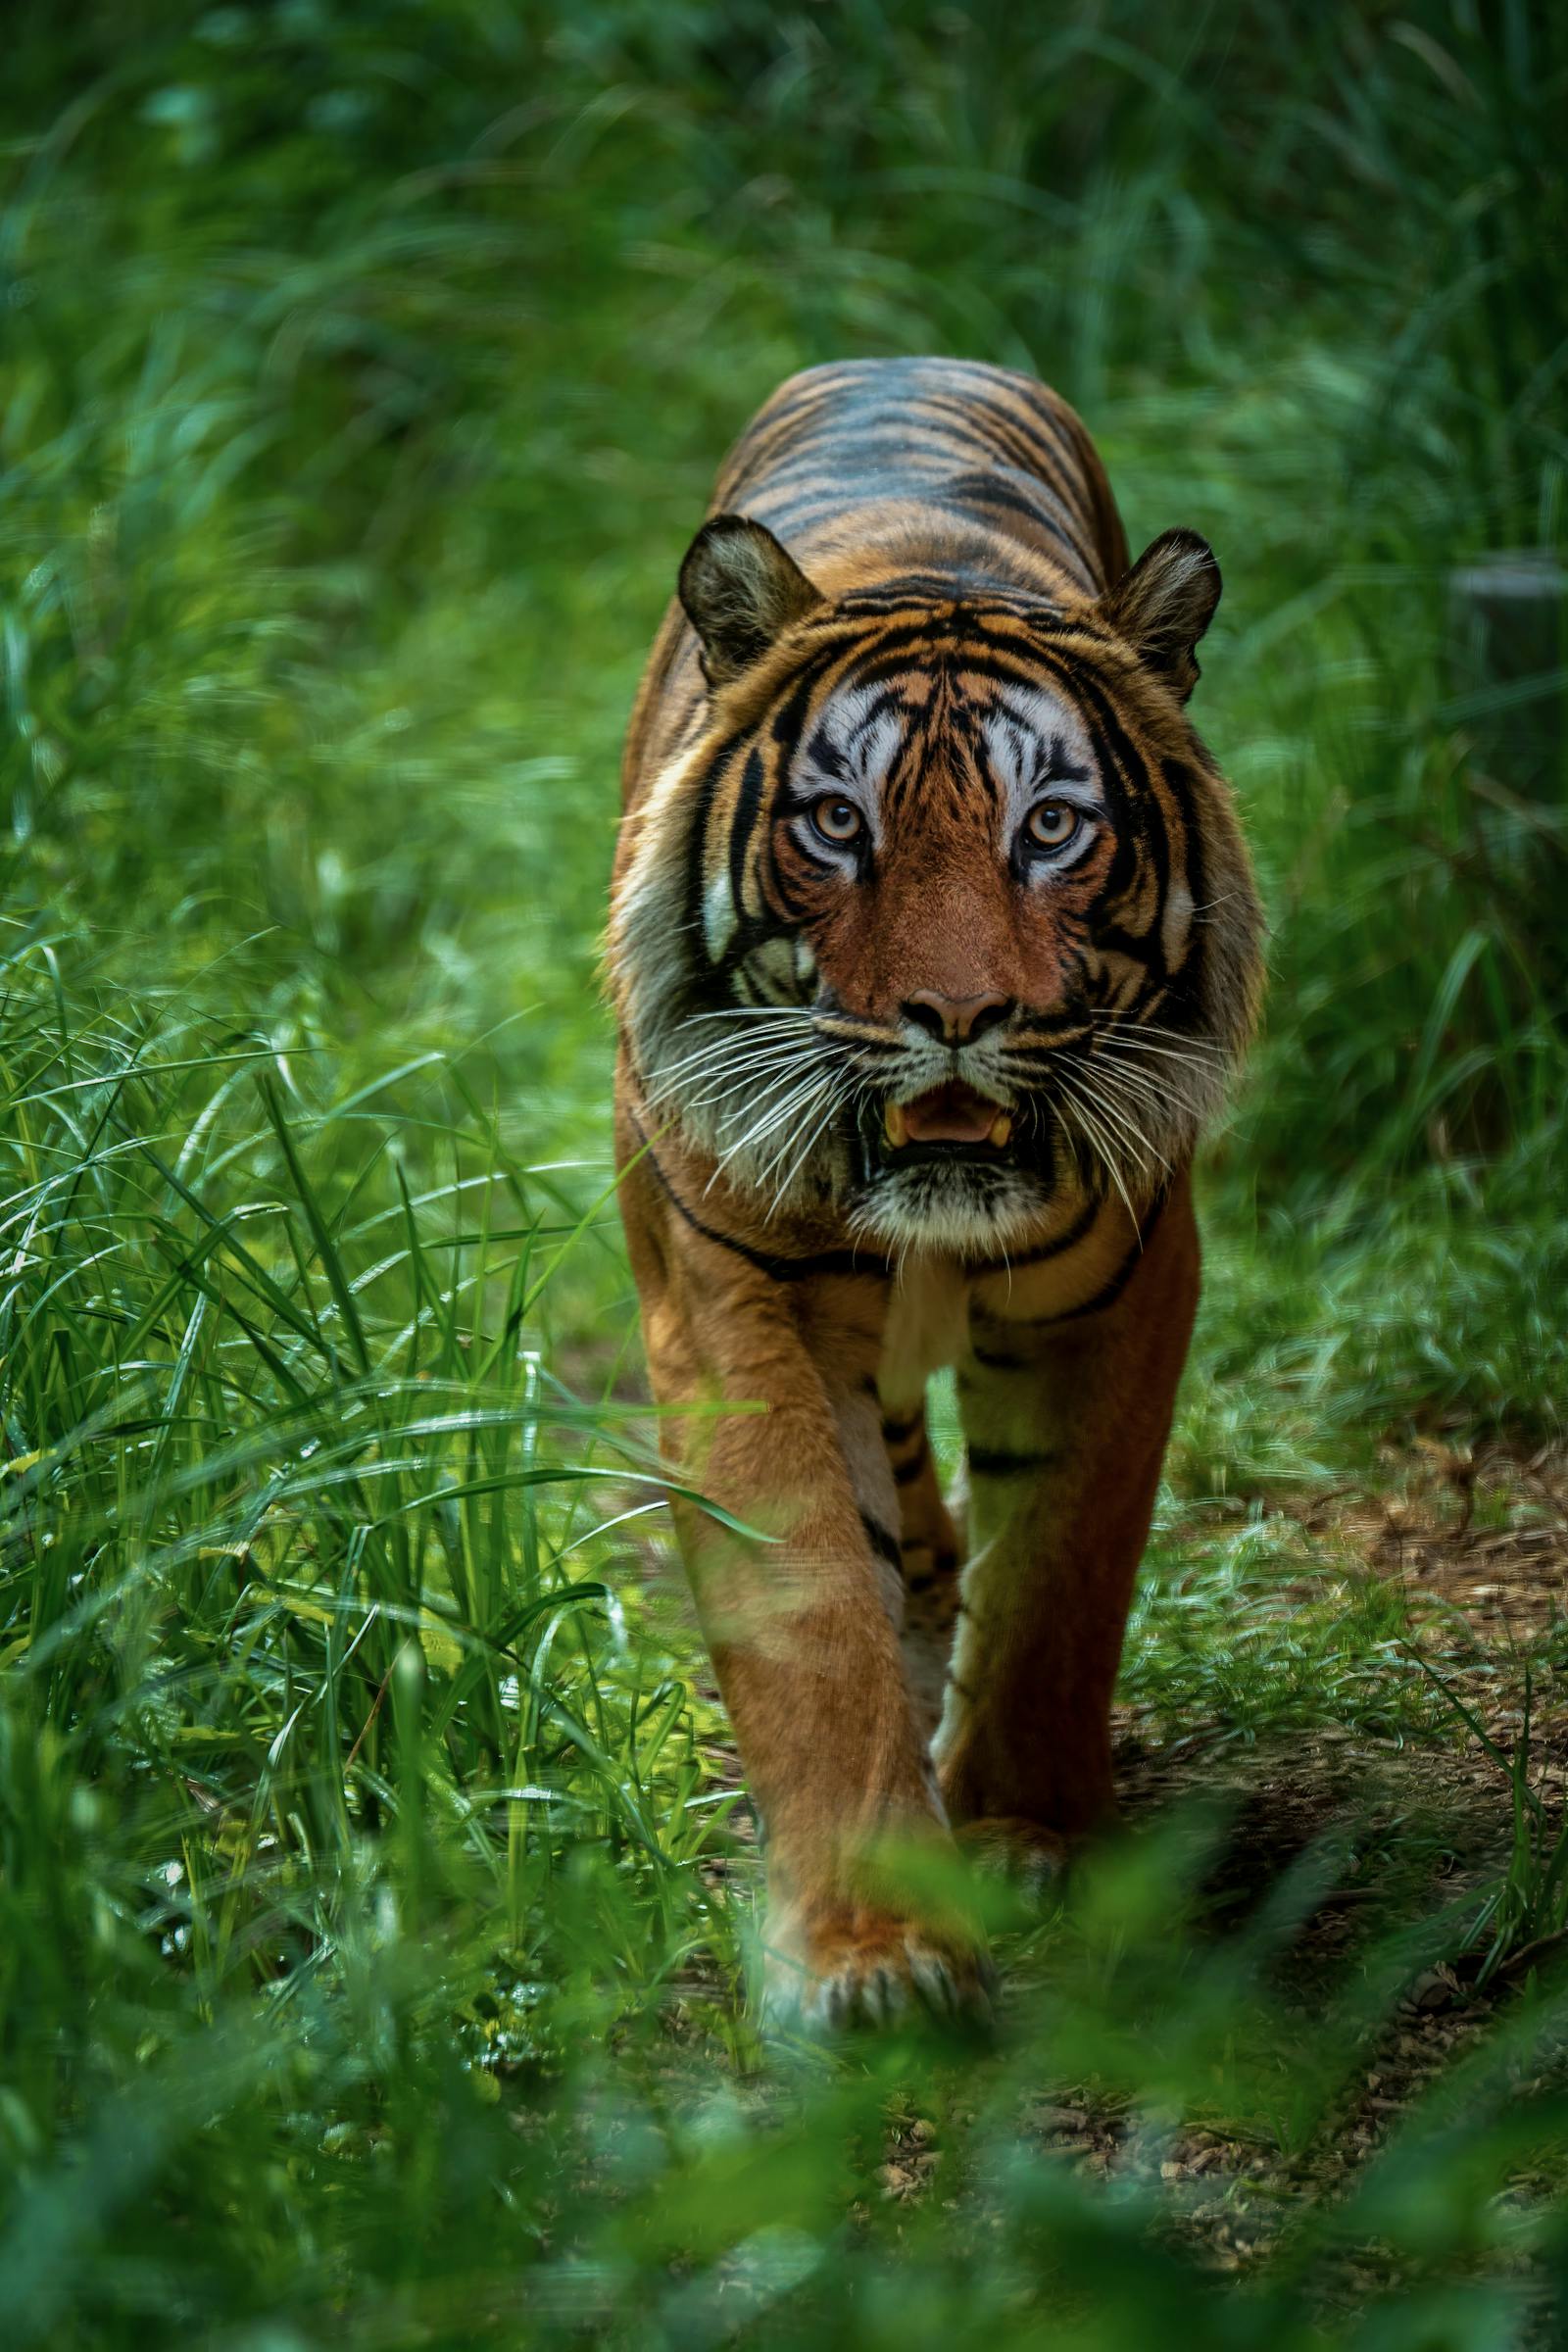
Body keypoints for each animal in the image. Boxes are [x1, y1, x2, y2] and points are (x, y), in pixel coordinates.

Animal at [608, 357, 1263, 2028]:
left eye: (1053, 826)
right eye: (840, 822)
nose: (958, 1016)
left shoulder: (1133, 1287)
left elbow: (1062, 1574)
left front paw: (1031, 1841)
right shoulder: (725, 1303)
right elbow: (814, 1617)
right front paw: (872, 1947)